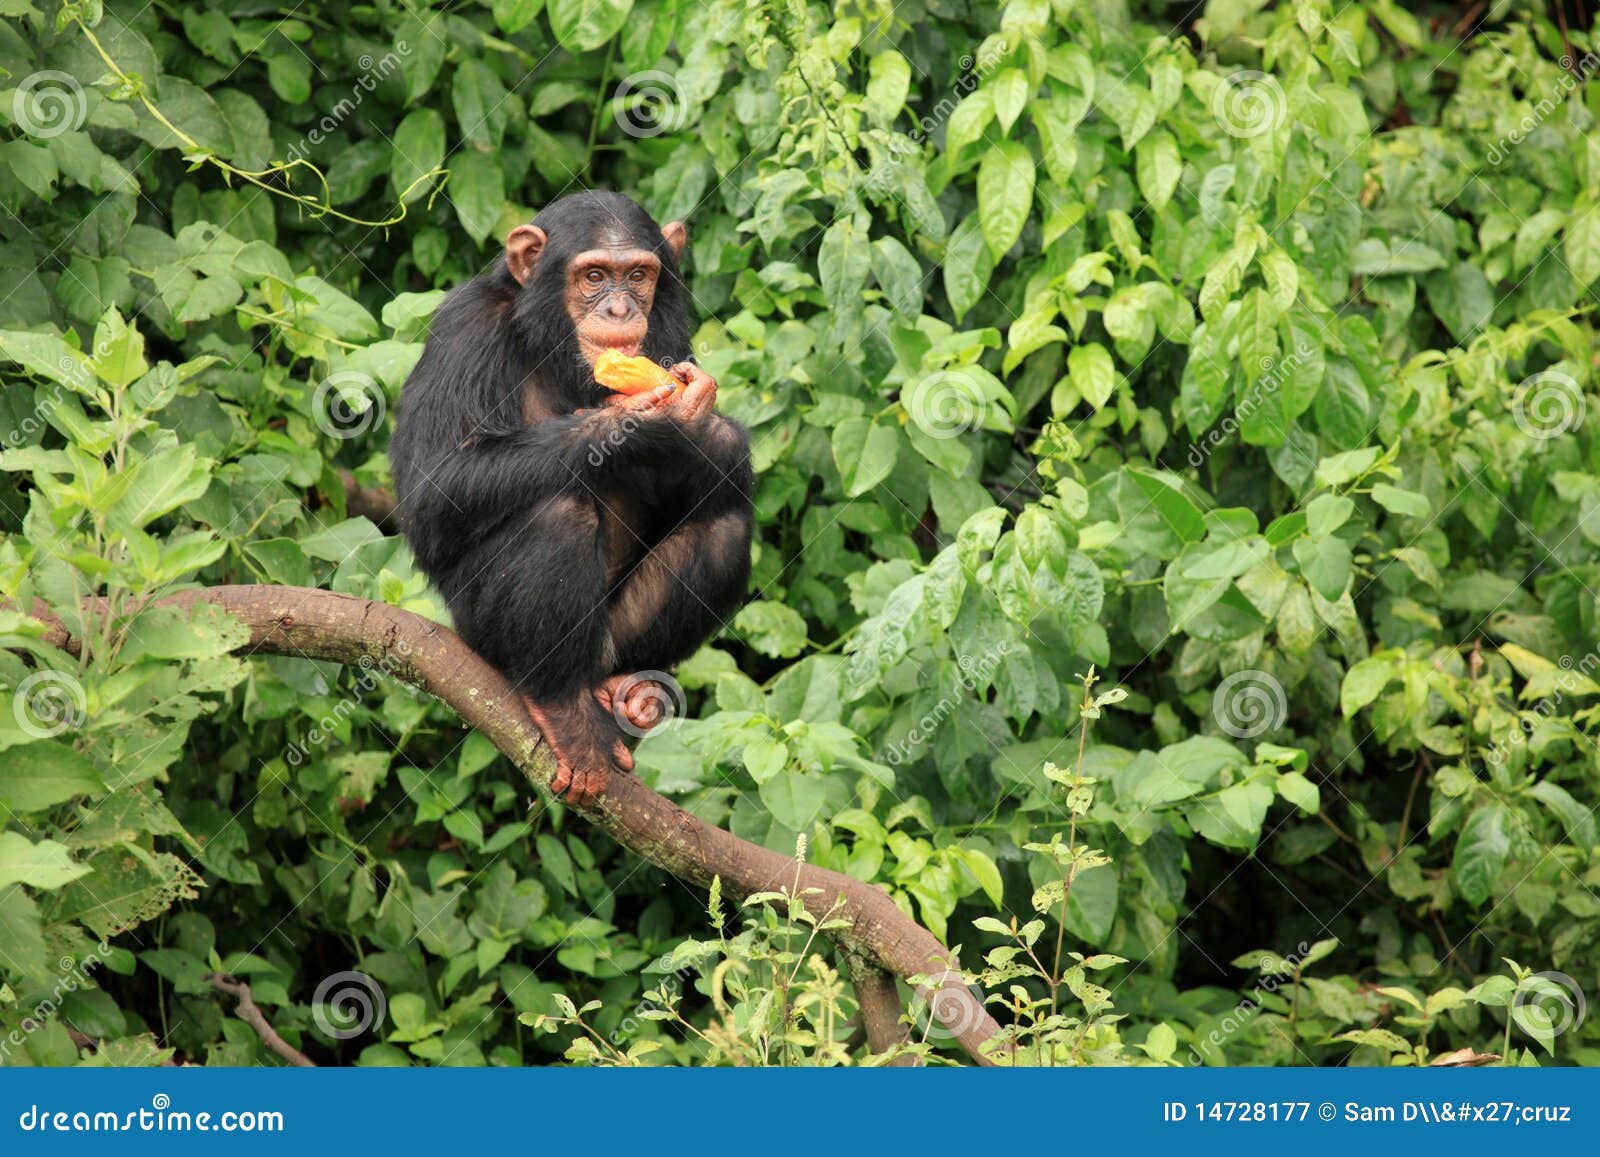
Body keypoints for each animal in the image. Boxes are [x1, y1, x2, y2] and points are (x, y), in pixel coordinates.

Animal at [389, 191, 753, 805]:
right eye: (594, 276)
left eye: (638, 276)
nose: (619, 310)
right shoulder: (465, 329)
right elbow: (436, 488)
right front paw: (634, 424)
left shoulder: (671, 344)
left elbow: (715, 479)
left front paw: (699, 424)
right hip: (479, 635)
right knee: (556, 516)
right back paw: (563, 712)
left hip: (610, 641)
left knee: (724, 530)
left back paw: (620, 688)